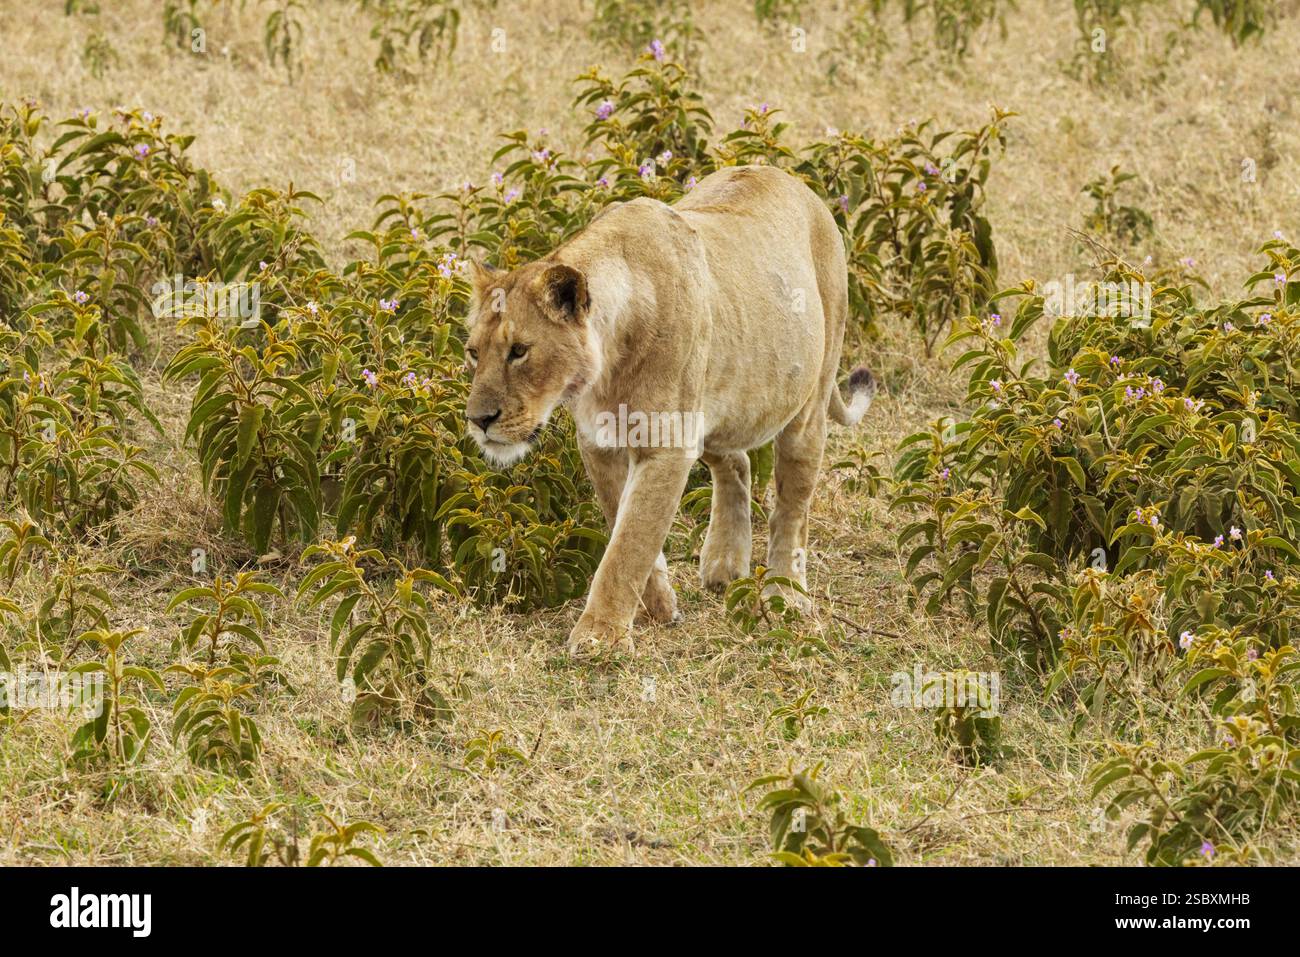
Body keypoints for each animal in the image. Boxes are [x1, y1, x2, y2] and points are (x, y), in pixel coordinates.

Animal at [463, 164, 876, 656]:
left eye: (519, 351)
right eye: (473, 352)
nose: (478, 420)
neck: (607, 364)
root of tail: (795, 182)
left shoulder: (666, 445)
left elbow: (631, 541)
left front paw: (600, 636)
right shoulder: (600, 442)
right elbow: (622, 523)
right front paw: (657, 608)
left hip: (808, 399)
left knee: (793, 503)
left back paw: (786, 593)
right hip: (718, 405)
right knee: (735, 462)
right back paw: (723, 565)